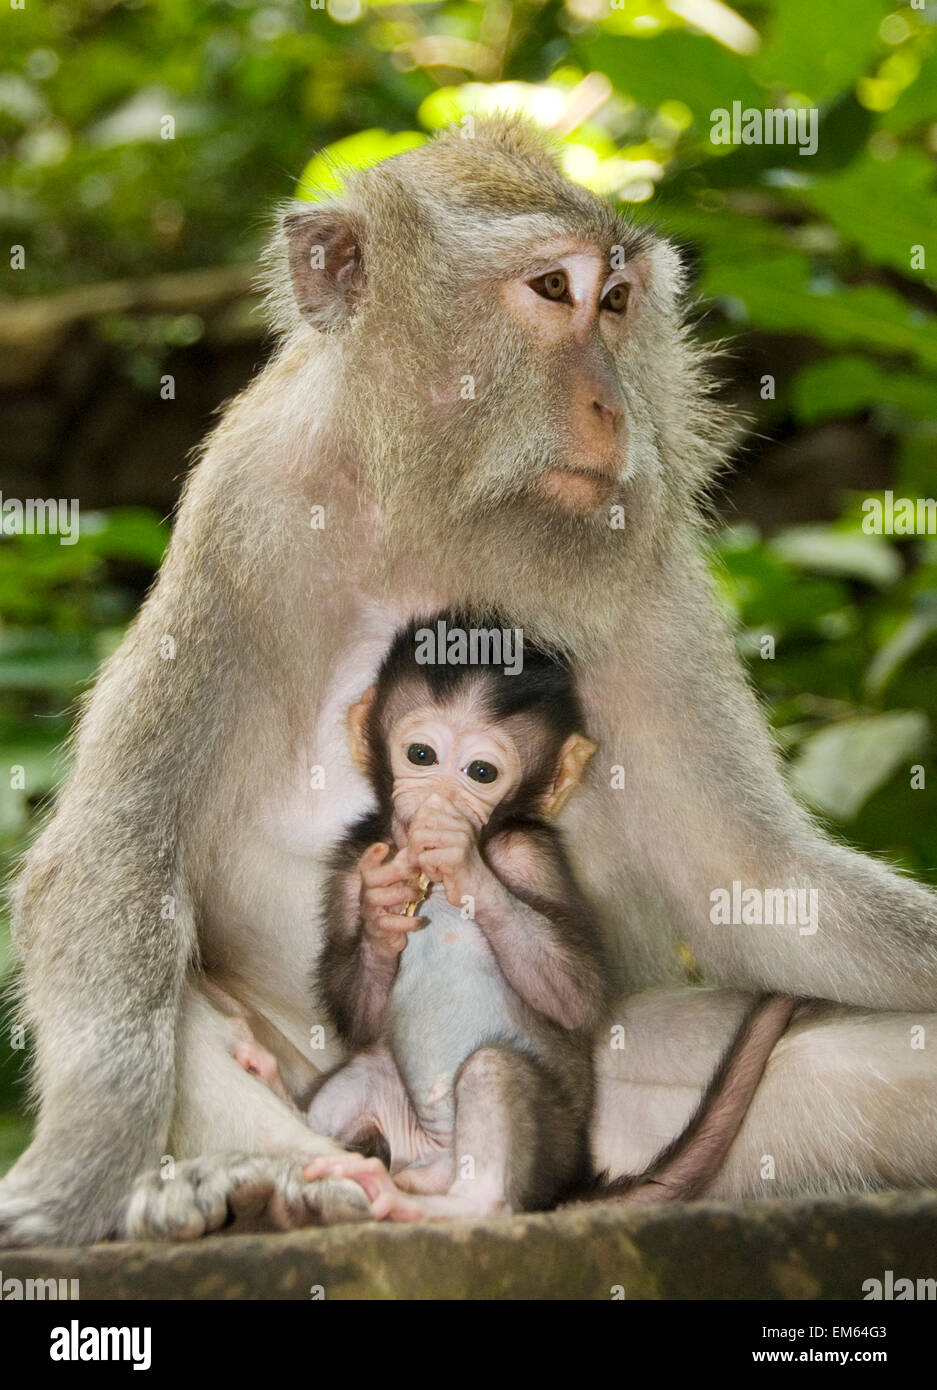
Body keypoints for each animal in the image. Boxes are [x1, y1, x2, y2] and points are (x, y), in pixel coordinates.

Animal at [4, 116, 937, 1248]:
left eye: (615, 301)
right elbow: (115, 848)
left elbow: (751, 880)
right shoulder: (241, 520)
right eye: (551, 289)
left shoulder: (644, 565)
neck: (432, 514)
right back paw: (263, 1185)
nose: (612, 405)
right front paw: (78, 1175)